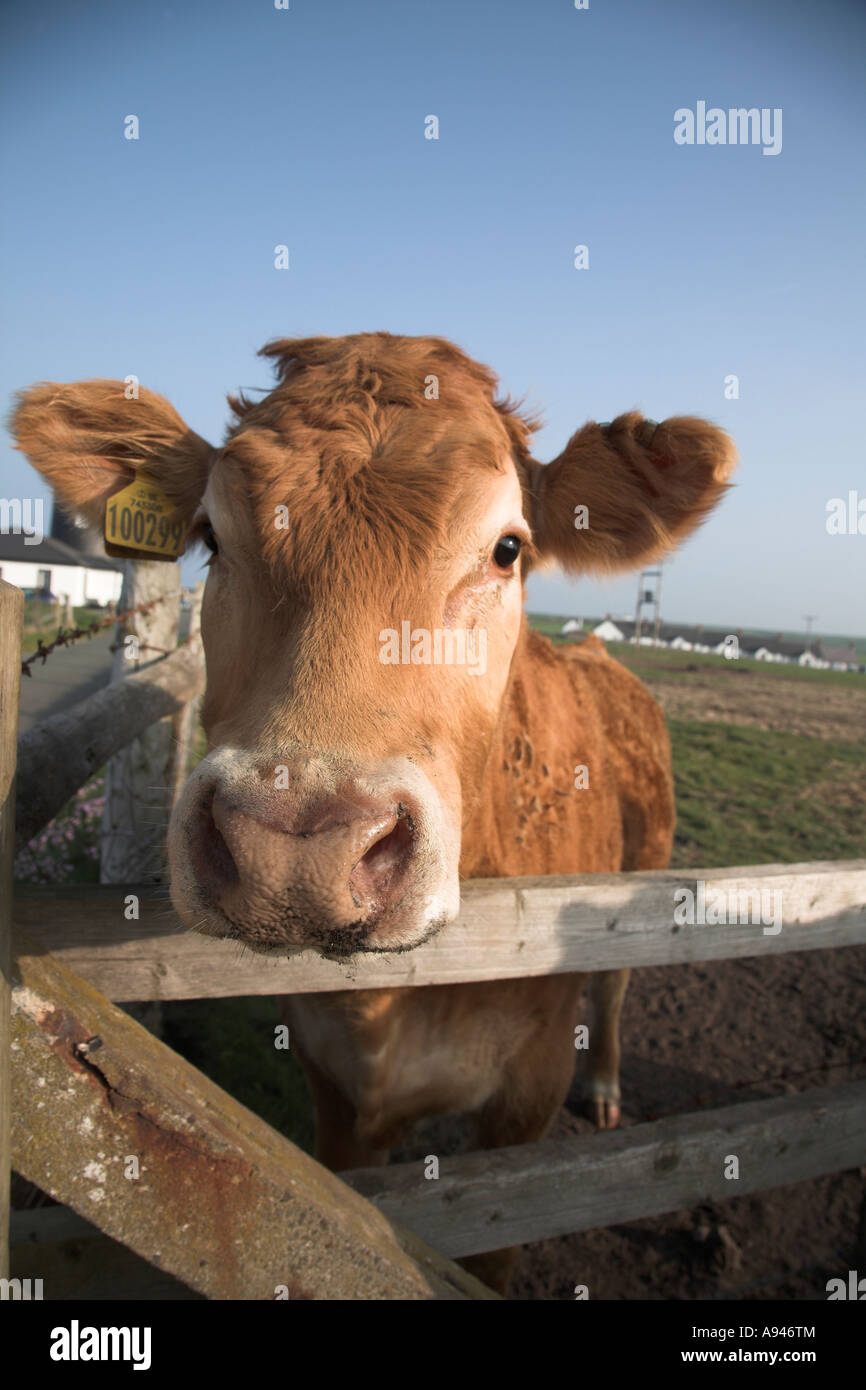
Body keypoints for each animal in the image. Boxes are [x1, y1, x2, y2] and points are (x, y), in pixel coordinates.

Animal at [12, 333, 736, 1293]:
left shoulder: (529, 1094)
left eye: (508, 548)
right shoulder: (335, 1100)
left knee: (615, 985)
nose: (294, 845)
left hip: (645, 869)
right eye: (210, 536)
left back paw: (610, 1083)